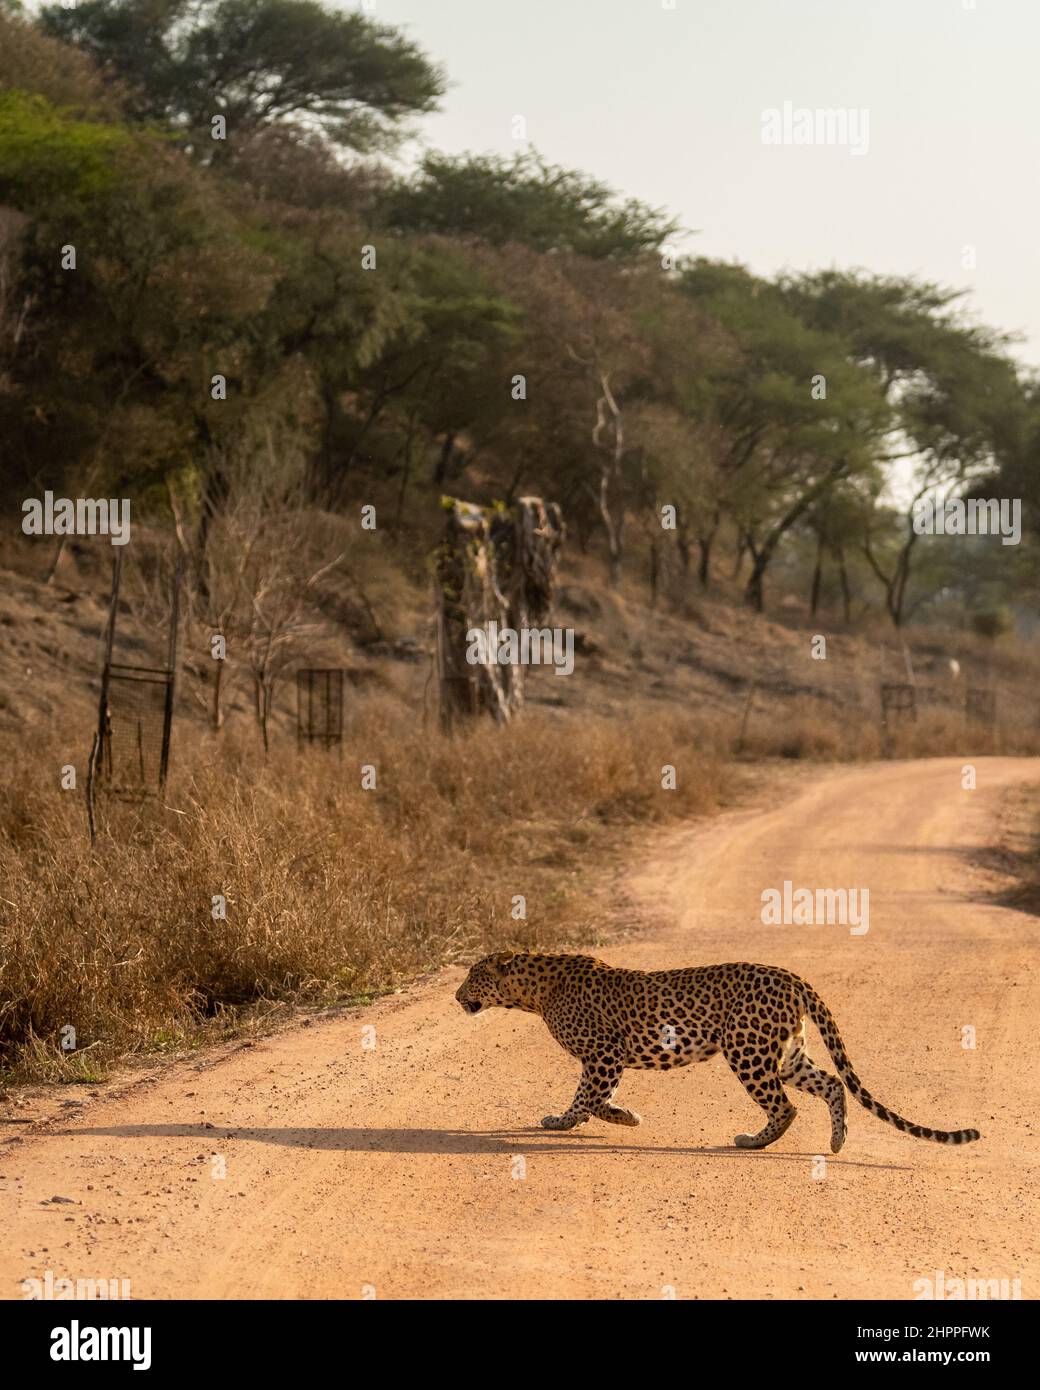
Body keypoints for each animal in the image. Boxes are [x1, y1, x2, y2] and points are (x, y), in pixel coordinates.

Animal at [455, 951, 981, 1151]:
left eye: (473, 977)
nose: (457, 996)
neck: (534, 991)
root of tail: (792, 976)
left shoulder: (603, 1054)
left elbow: (588, 1097)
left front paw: (567, 1122)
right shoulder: (606, 1058)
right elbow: (597, 1097)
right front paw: (622, 1116)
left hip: (747, 1049)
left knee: (785, 1106)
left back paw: (754, 1140)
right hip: (787, 1052)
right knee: (831, 1084)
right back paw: (837, 1140)